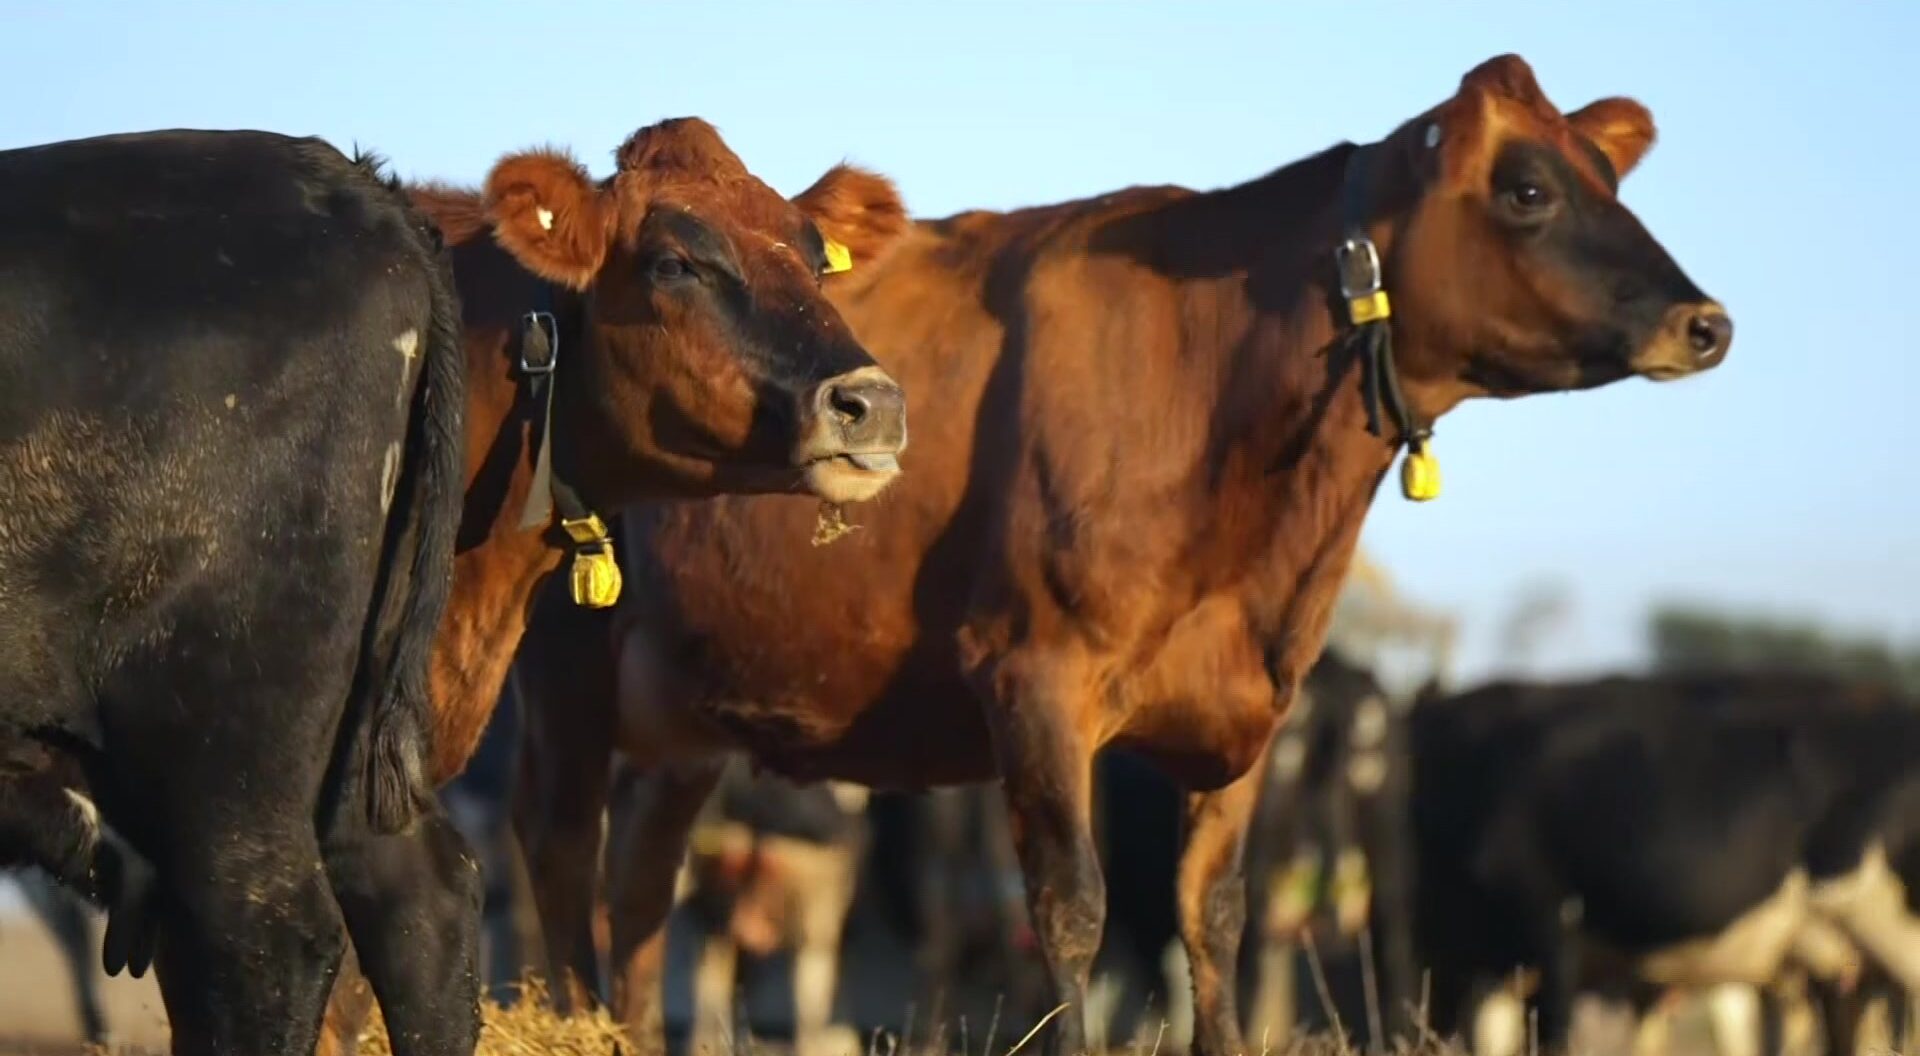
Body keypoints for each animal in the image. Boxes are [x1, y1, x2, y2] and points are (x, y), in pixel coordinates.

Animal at [510, 54, 1733, 1056]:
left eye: (1609, 177)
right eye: (1529, 190)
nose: (1706, 321)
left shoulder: (1246, 716)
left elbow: (1217, 917)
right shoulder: (1035, 681)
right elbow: (1073, 913)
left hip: (685, 722)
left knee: (642, 893)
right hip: (565, 669)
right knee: (563, 857)